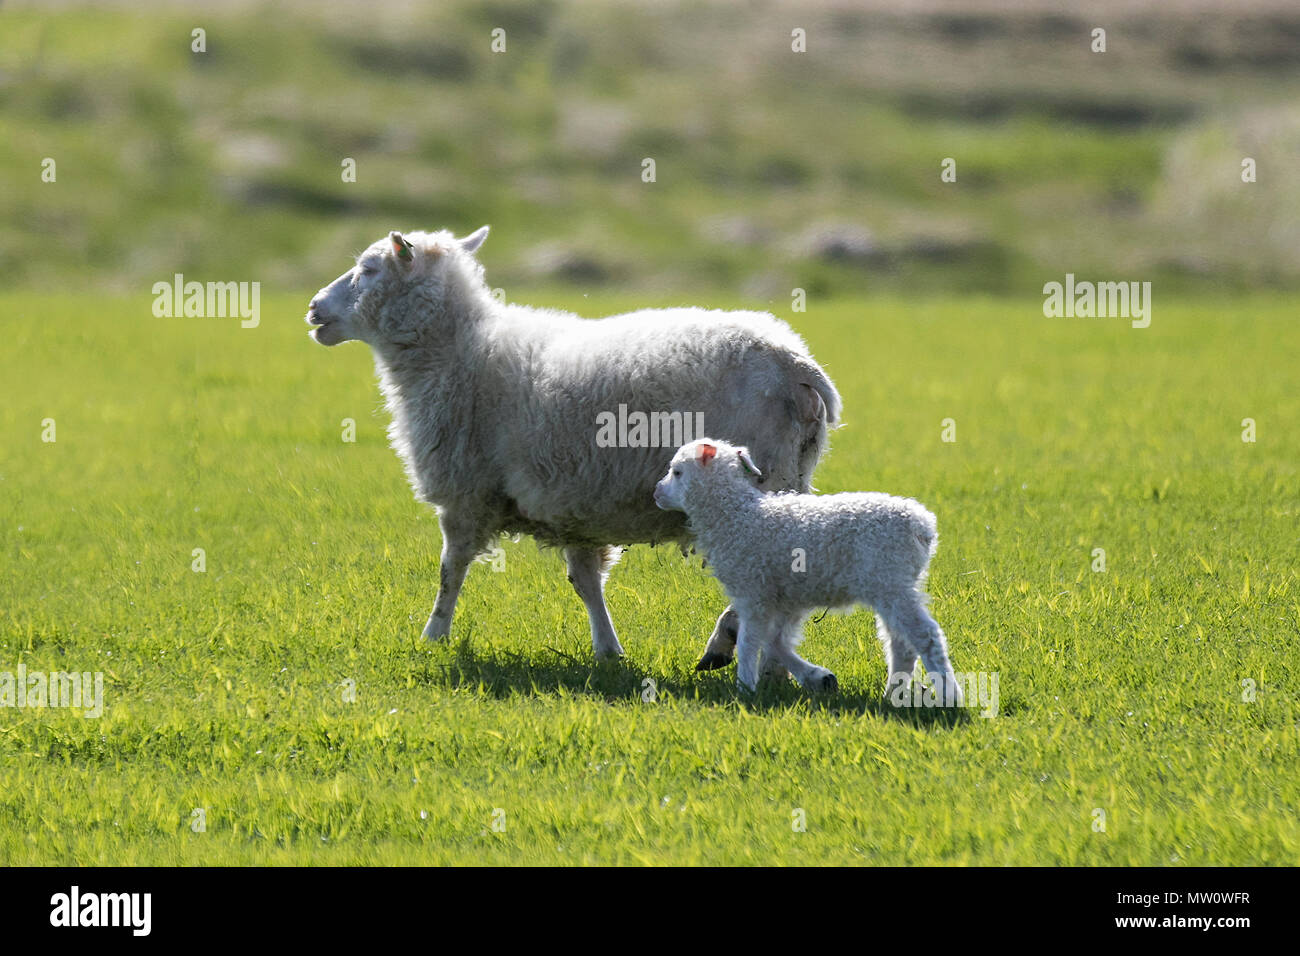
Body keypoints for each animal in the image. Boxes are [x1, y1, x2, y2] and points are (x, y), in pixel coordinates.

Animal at [303, 226, 841, 663]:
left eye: (368, 269)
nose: (312, 308)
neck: (458, 351)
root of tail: (795, 362)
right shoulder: (578, 502)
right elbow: (585, 582)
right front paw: (608, 650)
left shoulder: (467, 492)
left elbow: (449, 571)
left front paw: (433, 636)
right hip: (788, 473)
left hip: (763, 477)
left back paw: (723, 641)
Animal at [653, 438, 961, 703]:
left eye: (677, 472)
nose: (656, 491)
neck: (735, 515)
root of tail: (922, 525)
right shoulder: (787, 597)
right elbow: (775, 641)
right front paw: (818, 677)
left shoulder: (753, 591)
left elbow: (749, 641)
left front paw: (745, 688)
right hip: (892, 586)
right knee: (900, 643)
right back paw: (892, 694)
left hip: (891, 581)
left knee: (925, 635)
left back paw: (950, 695)